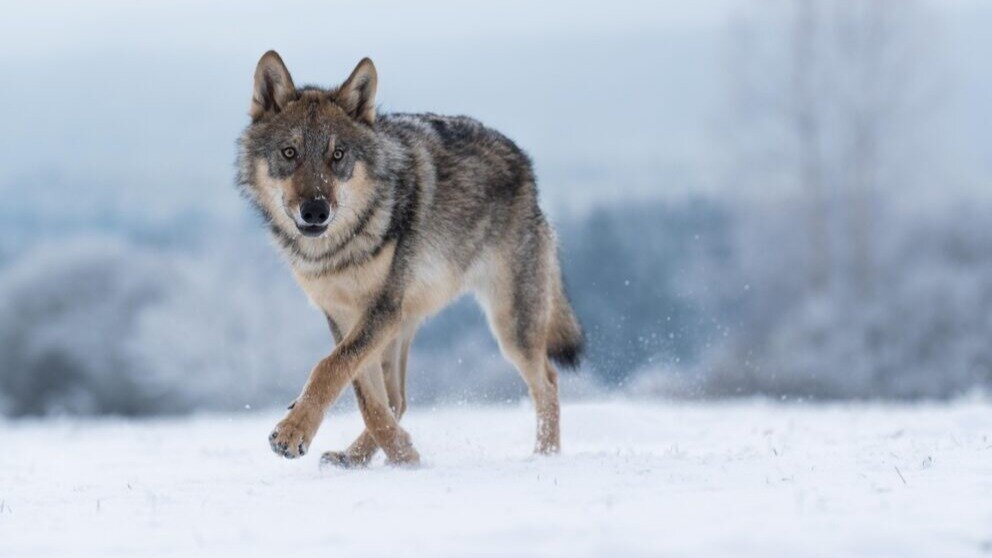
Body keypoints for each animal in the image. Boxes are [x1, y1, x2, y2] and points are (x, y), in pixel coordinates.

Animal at [237, 51, 583, 466]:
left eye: (338, 155)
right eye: (290, 153)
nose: (315, 211)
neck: (339, 249)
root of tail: (525, 164)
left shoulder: (381, 309)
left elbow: (330, 367)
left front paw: (292, 433)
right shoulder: (344, 315)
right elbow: (364, 394)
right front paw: (402, 453)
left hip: (509, 325)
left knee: (547, 381)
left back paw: (544, 456)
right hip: (406, 324)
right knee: (397, 399)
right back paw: (358, 456)